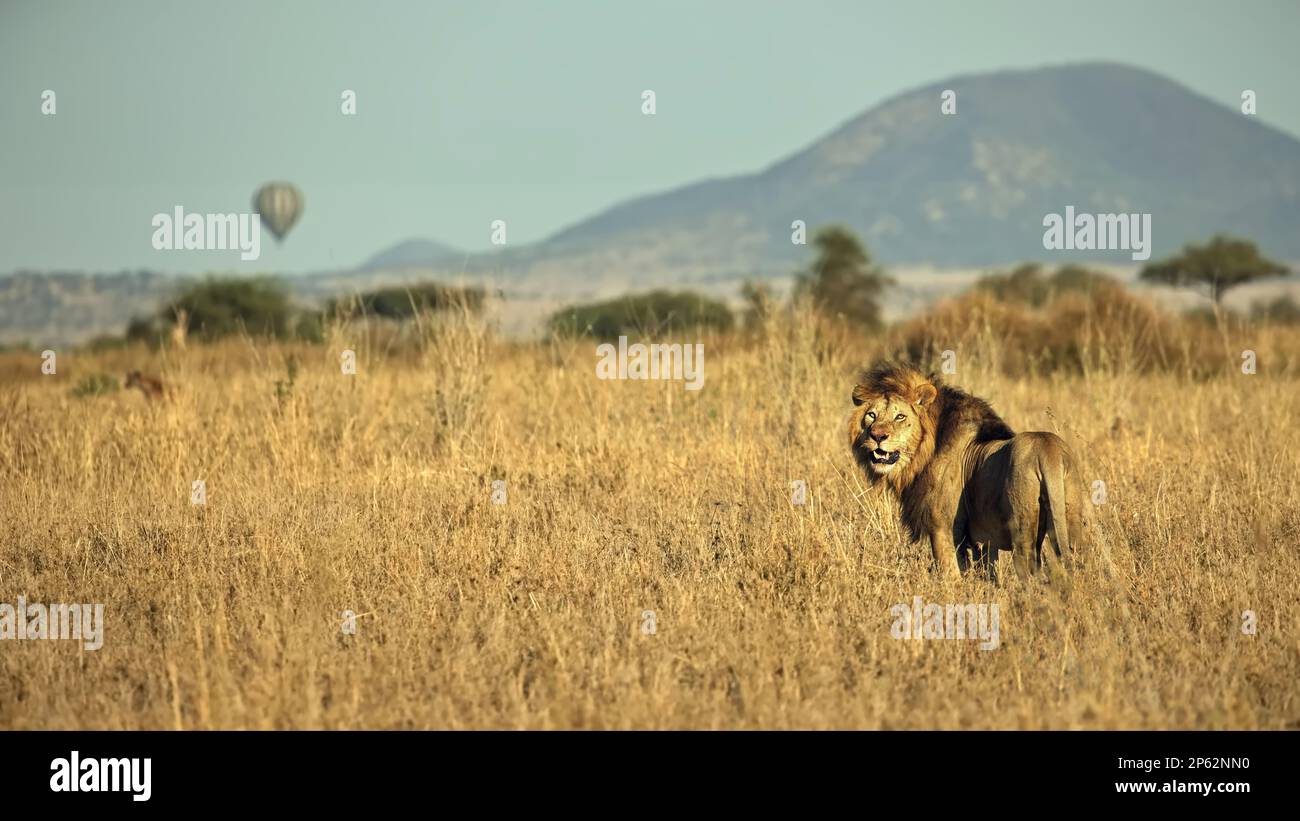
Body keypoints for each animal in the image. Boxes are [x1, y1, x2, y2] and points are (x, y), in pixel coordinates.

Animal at [847, 361, 1086, 581]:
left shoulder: (945, 529)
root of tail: (1049, 450)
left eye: (900, 417)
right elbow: (988, 571)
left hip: (1022, 533)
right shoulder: (985, 538)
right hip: (1068, 525)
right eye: (871, 415)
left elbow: (951, 573)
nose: (877, 435)